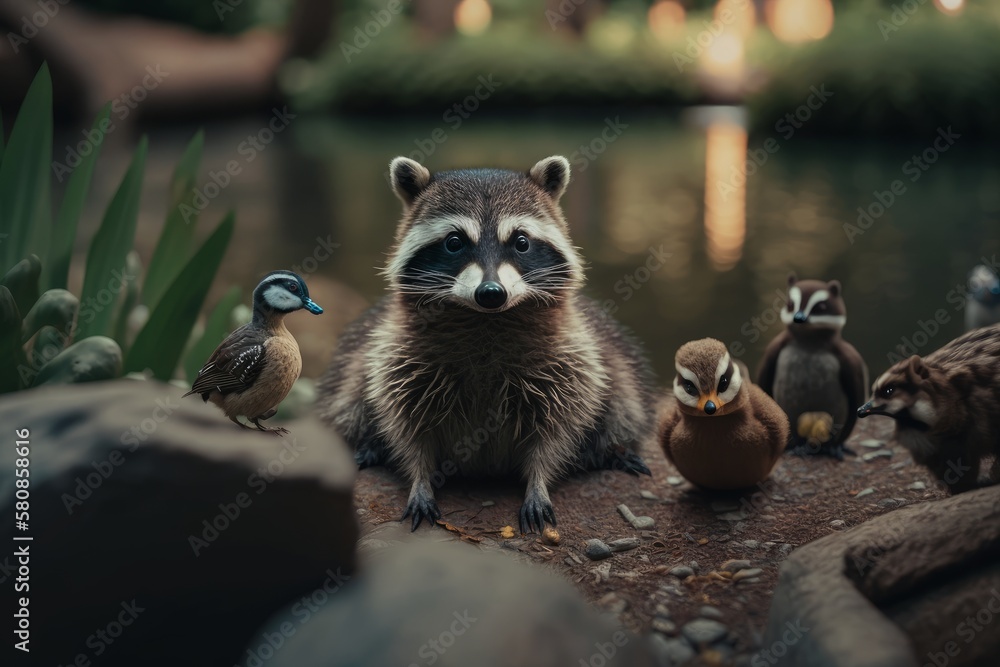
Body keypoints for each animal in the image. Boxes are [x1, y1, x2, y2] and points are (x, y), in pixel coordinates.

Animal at [316, 156, 657, 533]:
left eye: (521, 242)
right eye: (454, 242)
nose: (491, 293)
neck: (487, 320)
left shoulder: (570, 359)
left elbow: (560, 427)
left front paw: (539, 480)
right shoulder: (399, 356)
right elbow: (406, 425)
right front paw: (419, 478)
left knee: (624, 402)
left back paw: (613, 449)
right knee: (351, 394)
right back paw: (367, 443)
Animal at [858, 323, 1000, 493]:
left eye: (888, 391)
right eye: (872, 392)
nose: (860, 410)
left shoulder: (982, 410)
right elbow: (953, 463)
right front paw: (961, 485)